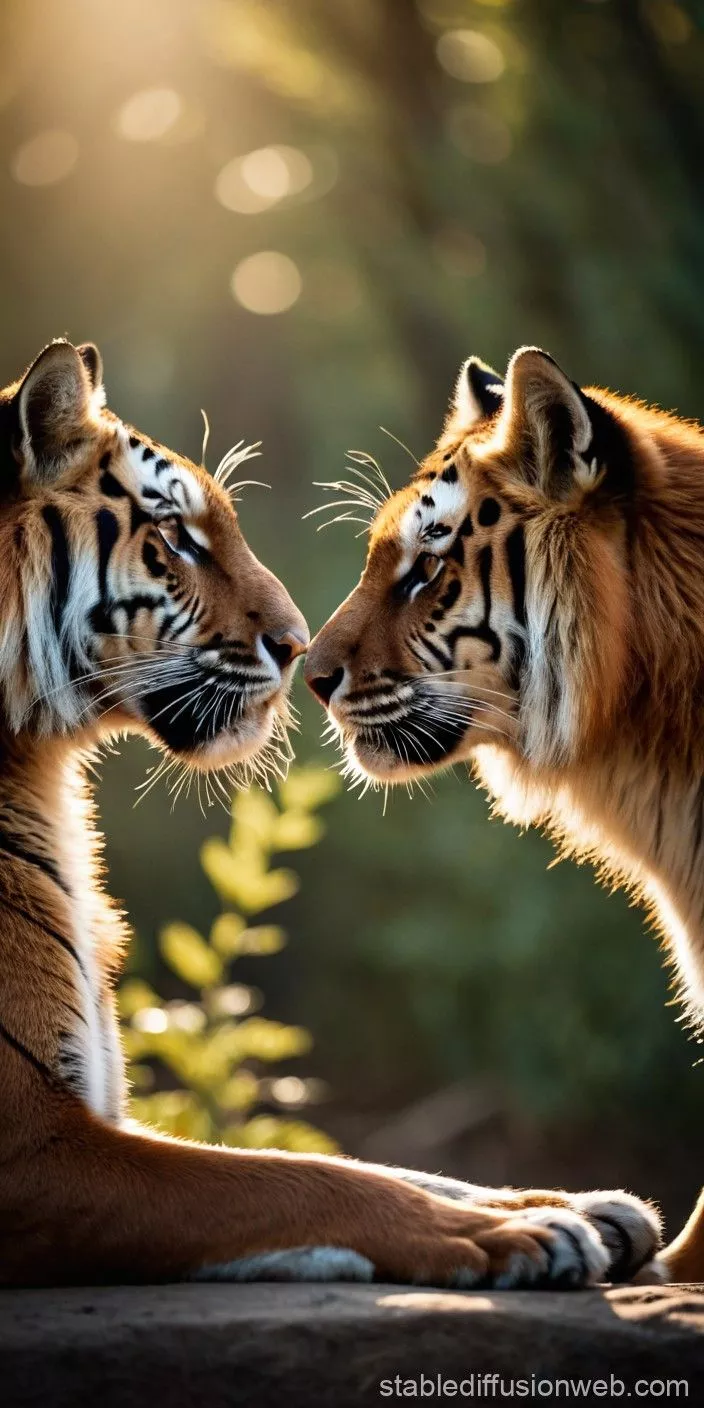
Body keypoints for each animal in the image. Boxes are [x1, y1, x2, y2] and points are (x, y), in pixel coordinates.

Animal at [0, 338, 659, 1290]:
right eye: (174, 536)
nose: (296, 648)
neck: (39, 767)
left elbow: (346, 1161)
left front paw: (584, 1206)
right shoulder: (35, 1143)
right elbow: (297, 1180)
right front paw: (518, 1234)